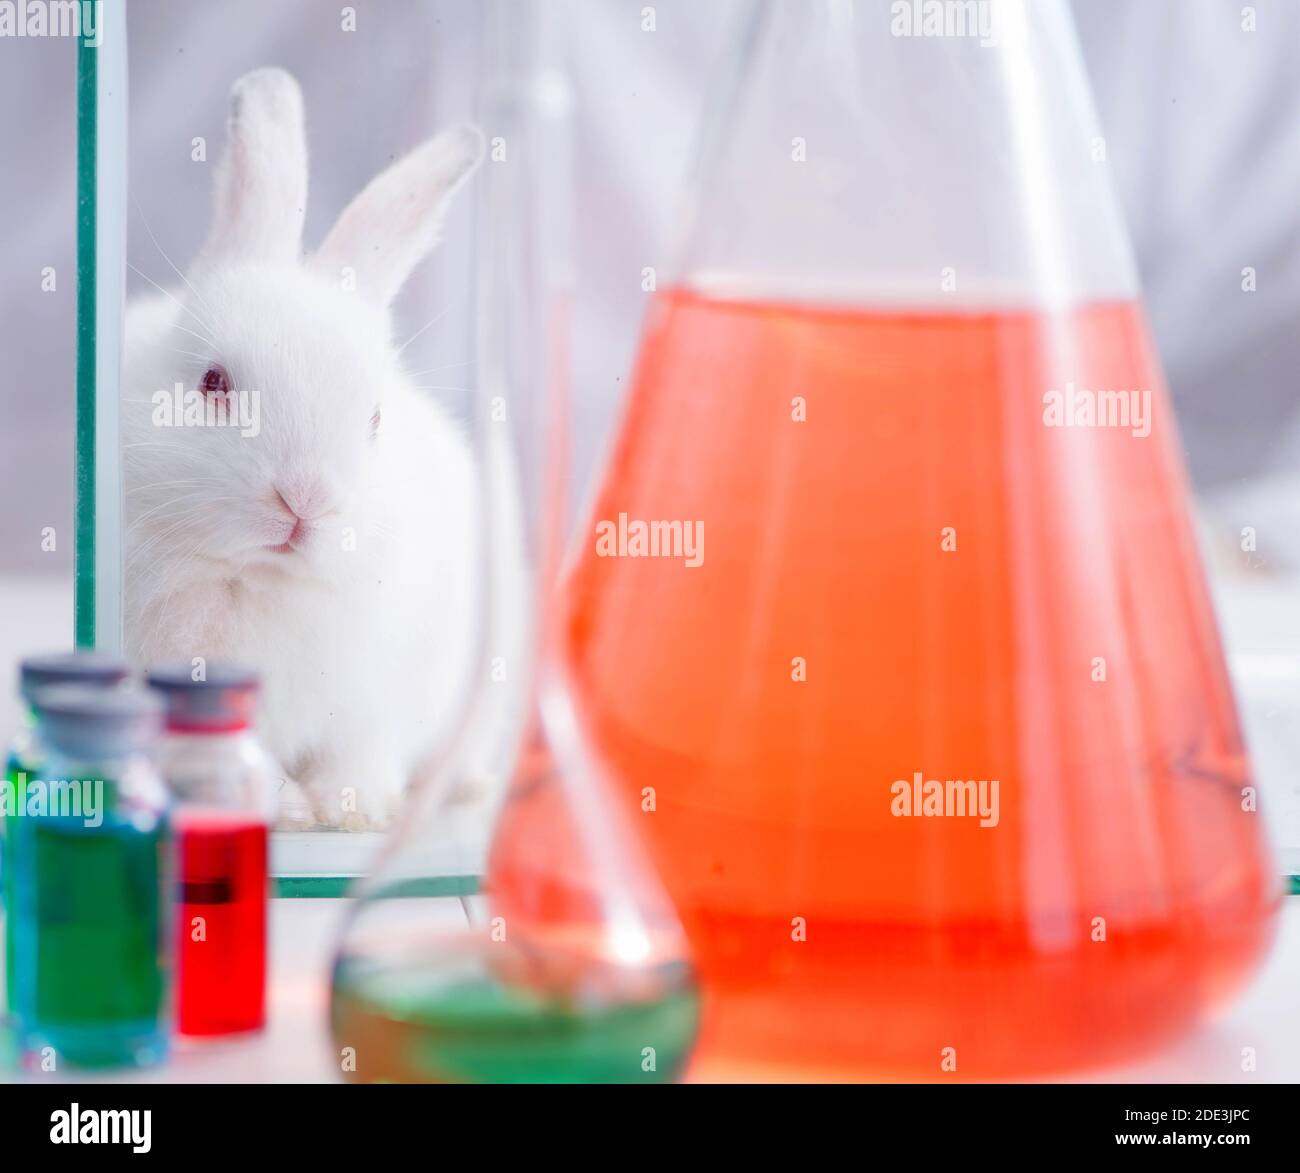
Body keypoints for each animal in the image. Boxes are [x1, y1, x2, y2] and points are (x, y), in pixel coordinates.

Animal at [123, 67, 521, 830]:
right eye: (214, 384)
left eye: (374, 419)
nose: (303, 499)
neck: (259, 579)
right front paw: (287, 810)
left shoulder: (375, 702)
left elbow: (358, 753)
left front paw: (350, 809)